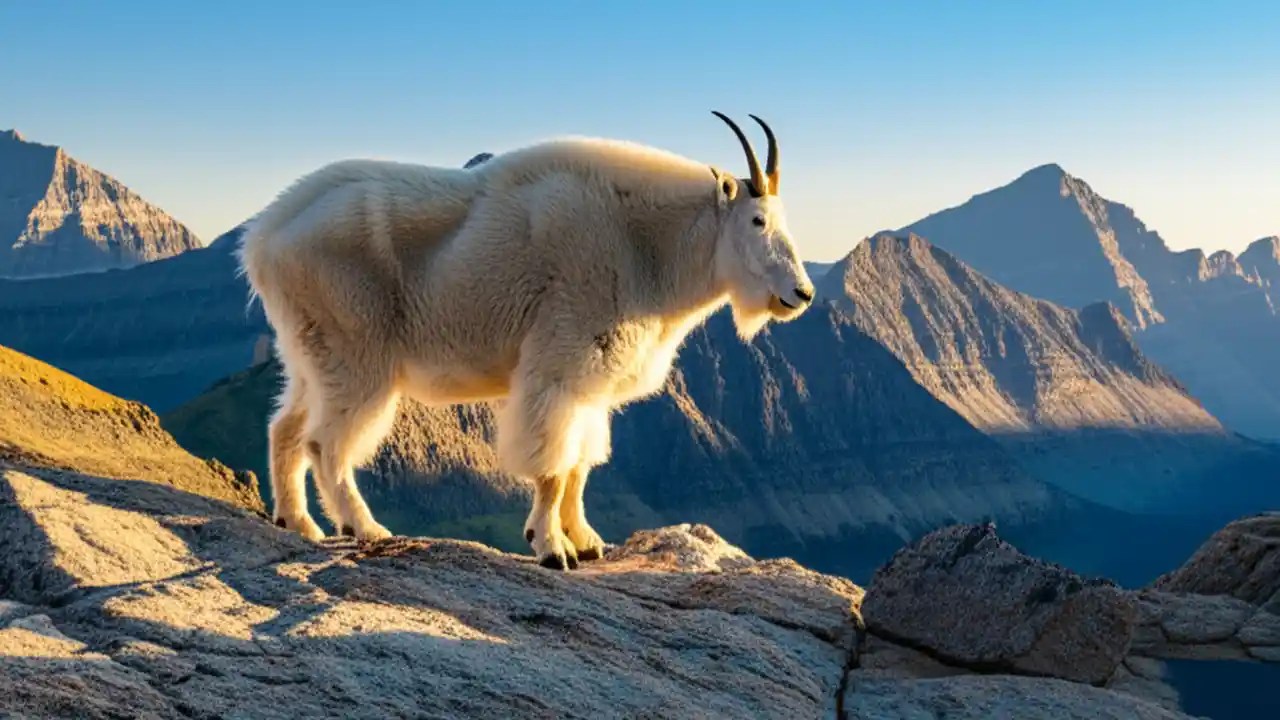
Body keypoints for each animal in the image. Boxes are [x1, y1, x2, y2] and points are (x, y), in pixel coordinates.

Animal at [238, 112, 815, 569]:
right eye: (757, 220)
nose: (802, 294)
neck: (642, 244)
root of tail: (264, 239)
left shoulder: (592, 378)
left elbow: (582, 462)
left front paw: (586, 541)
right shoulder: (560, 360)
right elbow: (553, 465)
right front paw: (550, 547)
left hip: (309, 350)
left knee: (285, 427)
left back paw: (297, 523)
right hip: (356, 348)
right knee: (326, 441)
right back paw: (364, 528)